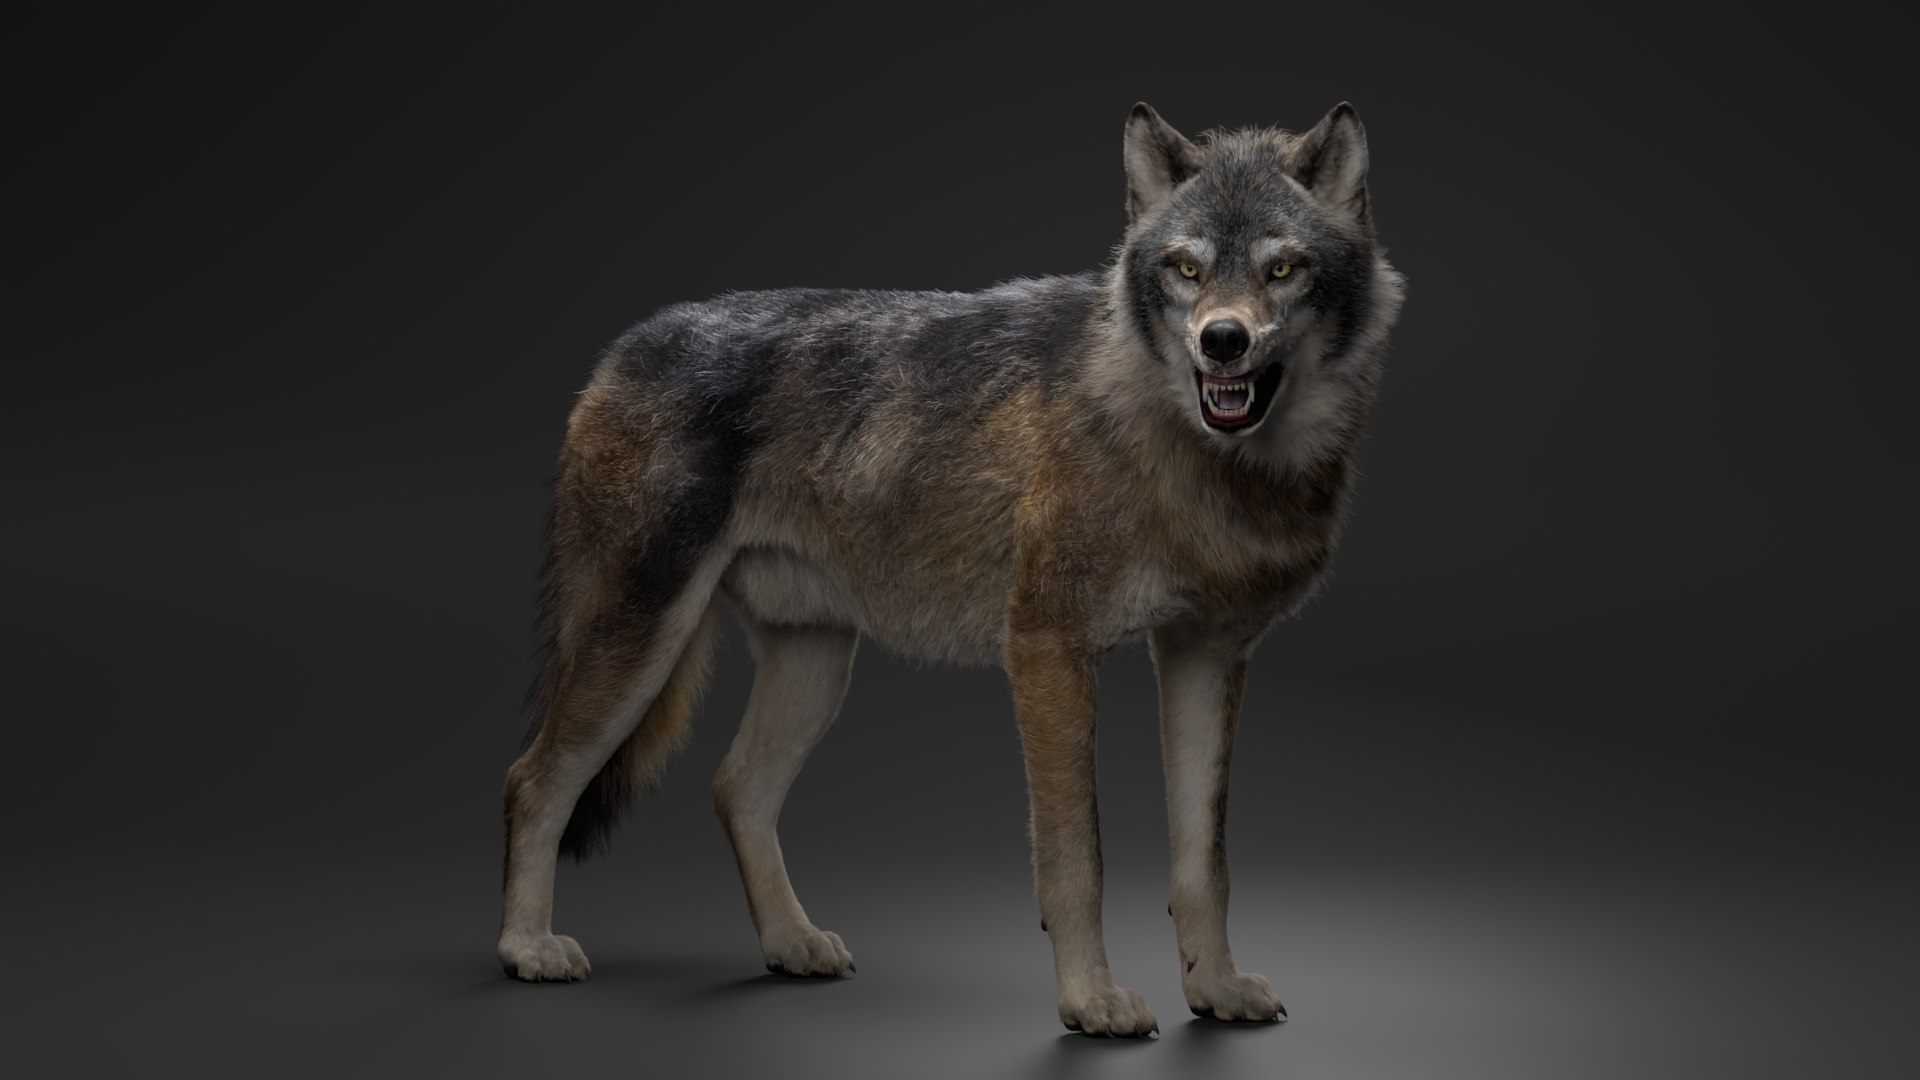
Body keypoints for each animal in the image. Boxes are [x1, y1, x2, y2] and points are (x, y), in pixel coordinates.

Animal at [497, 101, 1405, 1036]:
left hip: (815, 666)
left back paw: (791, 942)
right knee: (533, 781)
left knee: (733, 788)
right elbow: (1077, 858)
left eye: (1282, 268)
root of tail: (624, 347)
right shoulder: (1047, 646)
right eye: (1186, 269)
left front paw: (1215, 989)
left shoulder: (1205, 654)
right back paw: (527, 950)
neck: (1198, 455)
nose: (1221, 341)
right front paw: (1091, 1001)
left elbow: (1204, 863)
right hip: (642, 644)